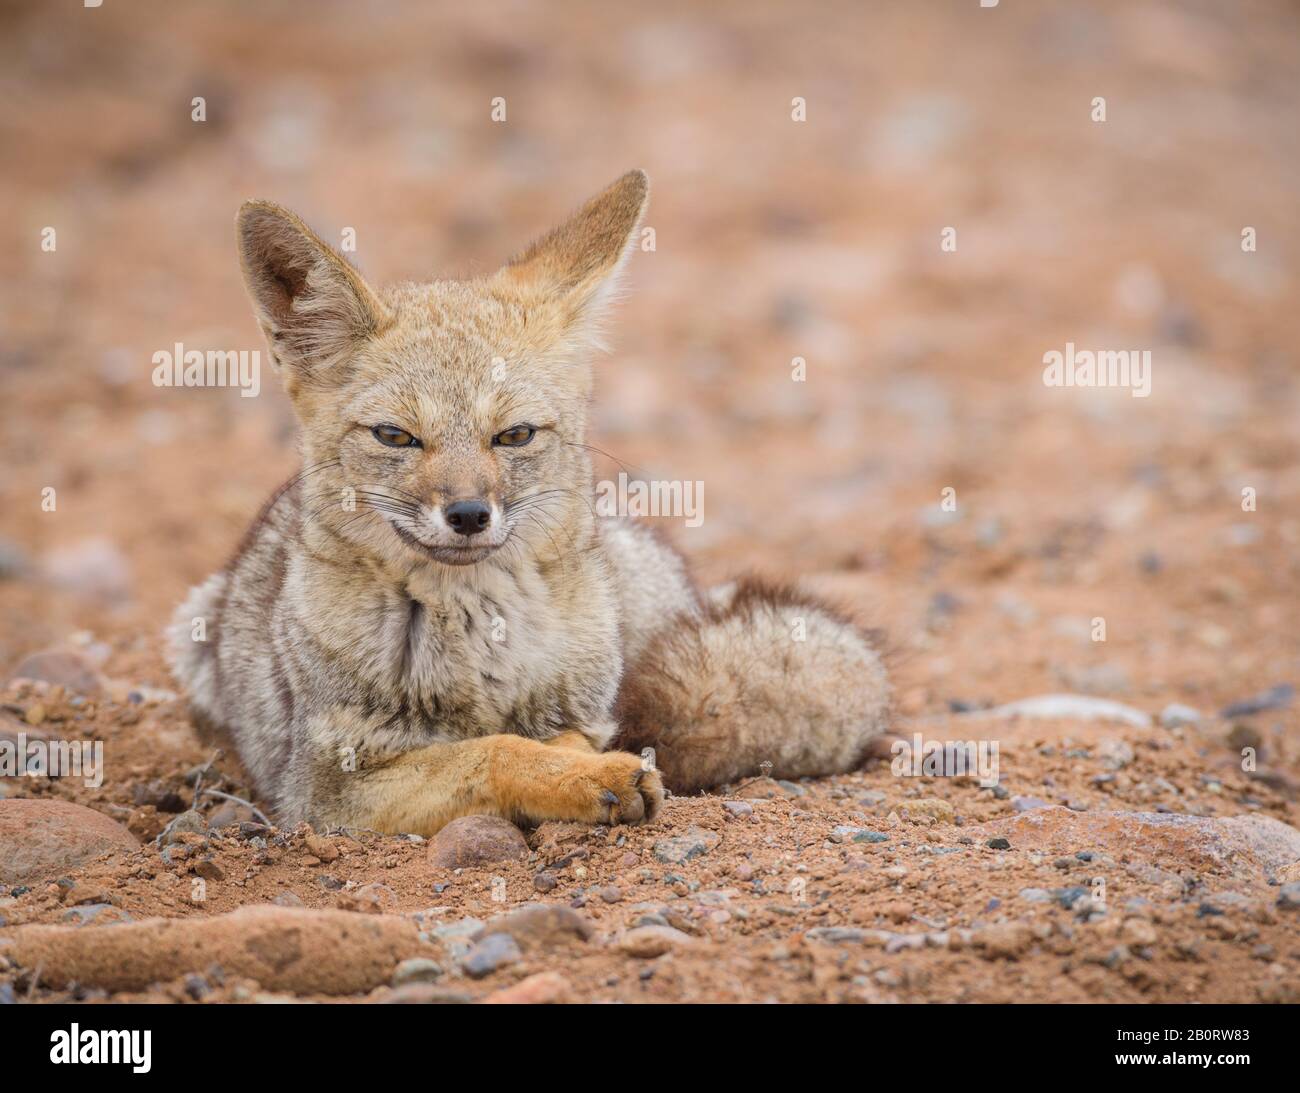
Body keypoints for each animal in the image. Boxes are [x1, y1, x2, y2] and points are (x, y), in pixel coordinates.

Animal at [167, 170, 891, 836]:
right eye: (396, 436)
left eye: (513, 435)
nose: (467, 514)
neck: (476, 634)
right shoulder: (325, 787)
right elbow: (489, 750)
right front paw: (574, 776)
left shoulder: (588, 709)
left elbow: (556, 735)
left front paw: (588, 769)